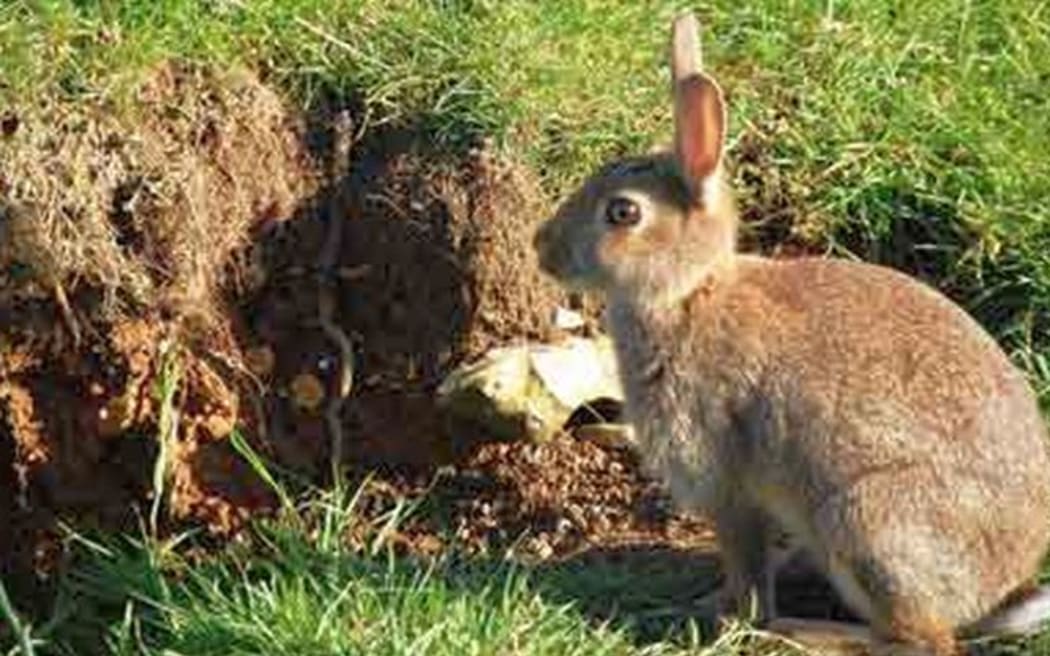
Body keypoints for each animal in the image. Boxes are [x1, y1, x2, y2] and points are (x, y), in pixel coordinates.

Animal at [533, 11, 1050, 656]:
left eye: (622, 213)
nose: (542, 248)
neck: (689, 294)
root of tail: (999, 590)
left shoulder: (725, 483)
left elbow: (746, 567)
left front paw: (728, 615)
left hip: (867, 523)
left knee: (916, 639)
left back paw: (804, 631)